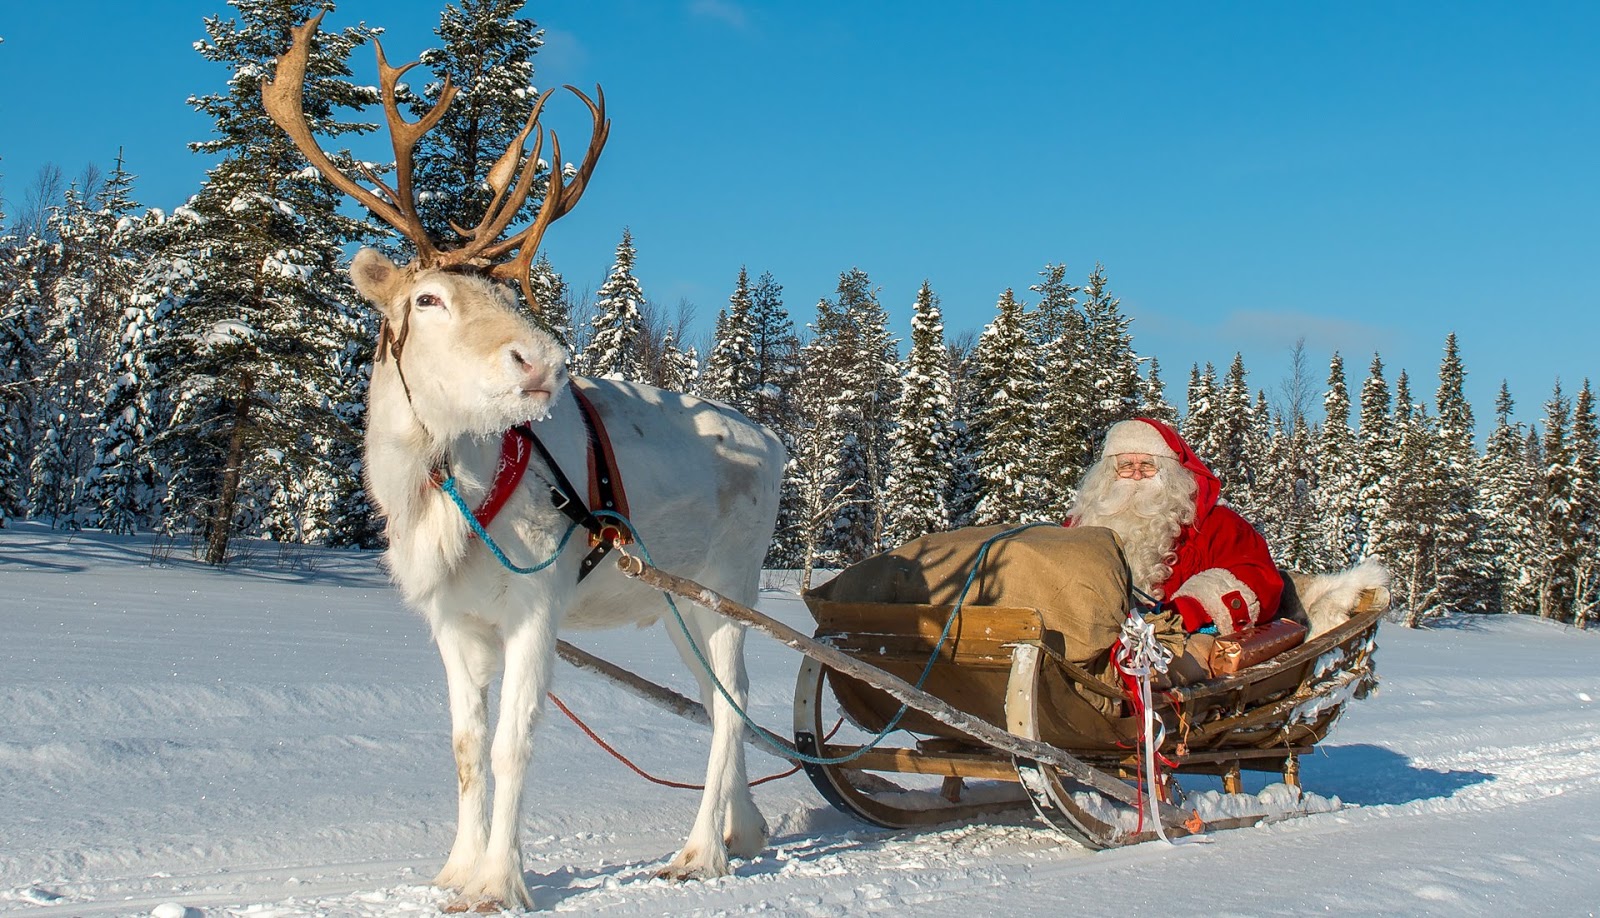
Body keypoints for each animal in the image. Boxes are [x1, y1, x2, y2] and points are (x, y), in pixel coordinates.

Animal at [263, 15, 785, 912]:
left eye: (513, 294)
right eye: (428, 298)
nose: (545, 359)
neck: (436, 495)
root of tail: (778, 445)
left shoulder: (537, 607)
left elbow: (514, 744)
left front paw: (501, 881)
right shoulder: (455, 621)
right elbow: (466, 745)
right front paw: (453, 870)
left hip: (729, 588)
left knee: (731, 706)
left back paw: (701, 852)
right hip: (680, 606)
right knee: (726, 701)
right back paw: (744, 832)